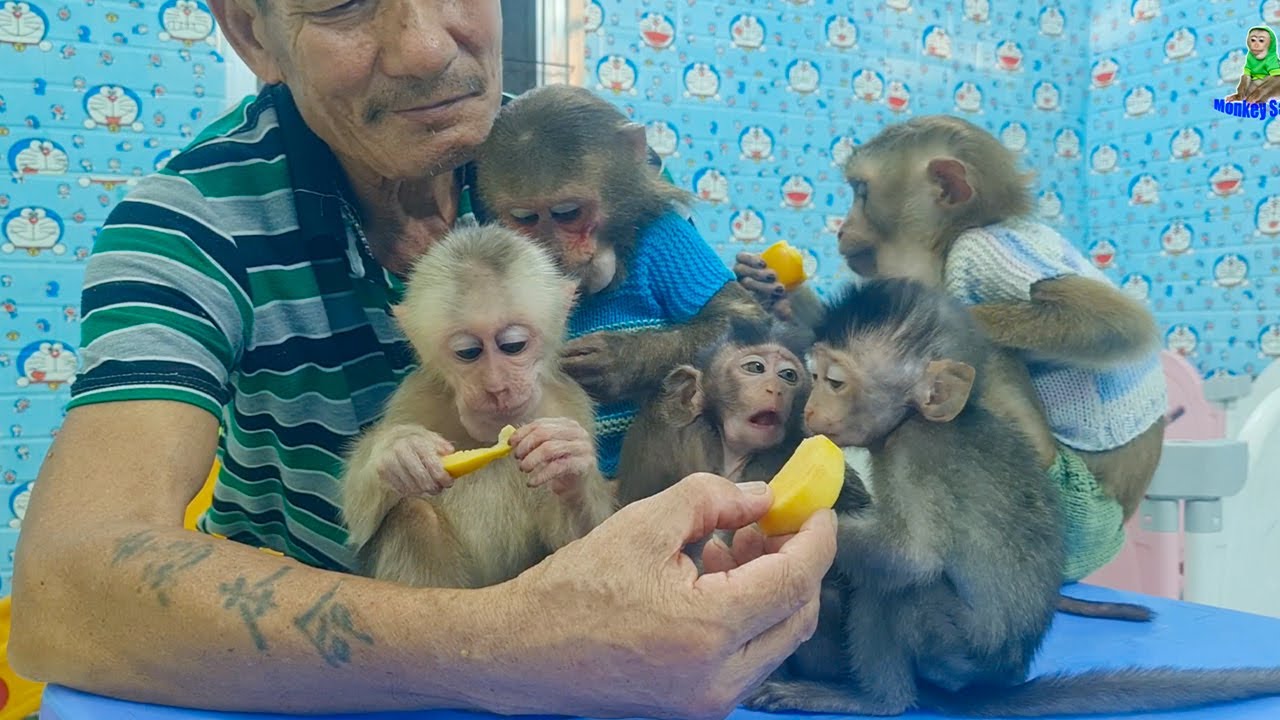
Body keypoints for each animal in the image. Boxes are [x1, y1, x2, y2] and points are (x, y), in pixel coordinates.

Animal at [338, 225, 617, 589]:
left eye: (513, 346)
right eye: (468, 352)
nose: (497, 388)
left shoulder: (568, 405)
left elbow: (583, 543)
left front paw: (569, 462)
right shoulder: (414, 398)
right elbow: (360, 525)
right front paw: (399, 450)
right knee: (415, 516)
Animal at [474, 83, 768, 480]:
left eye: (568, 213)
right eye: (526, 218)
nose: (551, 252)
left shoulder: (670, 237)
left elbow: (743, 320)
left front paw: (621, 360)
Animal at [742, 278, 1280, 717]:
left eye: (835, 382)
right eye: (815, 377)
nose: (811, 407)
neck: (919, 418)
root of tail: (1000, 678)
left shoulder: (916, 449)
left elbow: (910, 557)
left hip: (959, 651)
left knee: (904, 588)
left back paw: (876, 700)